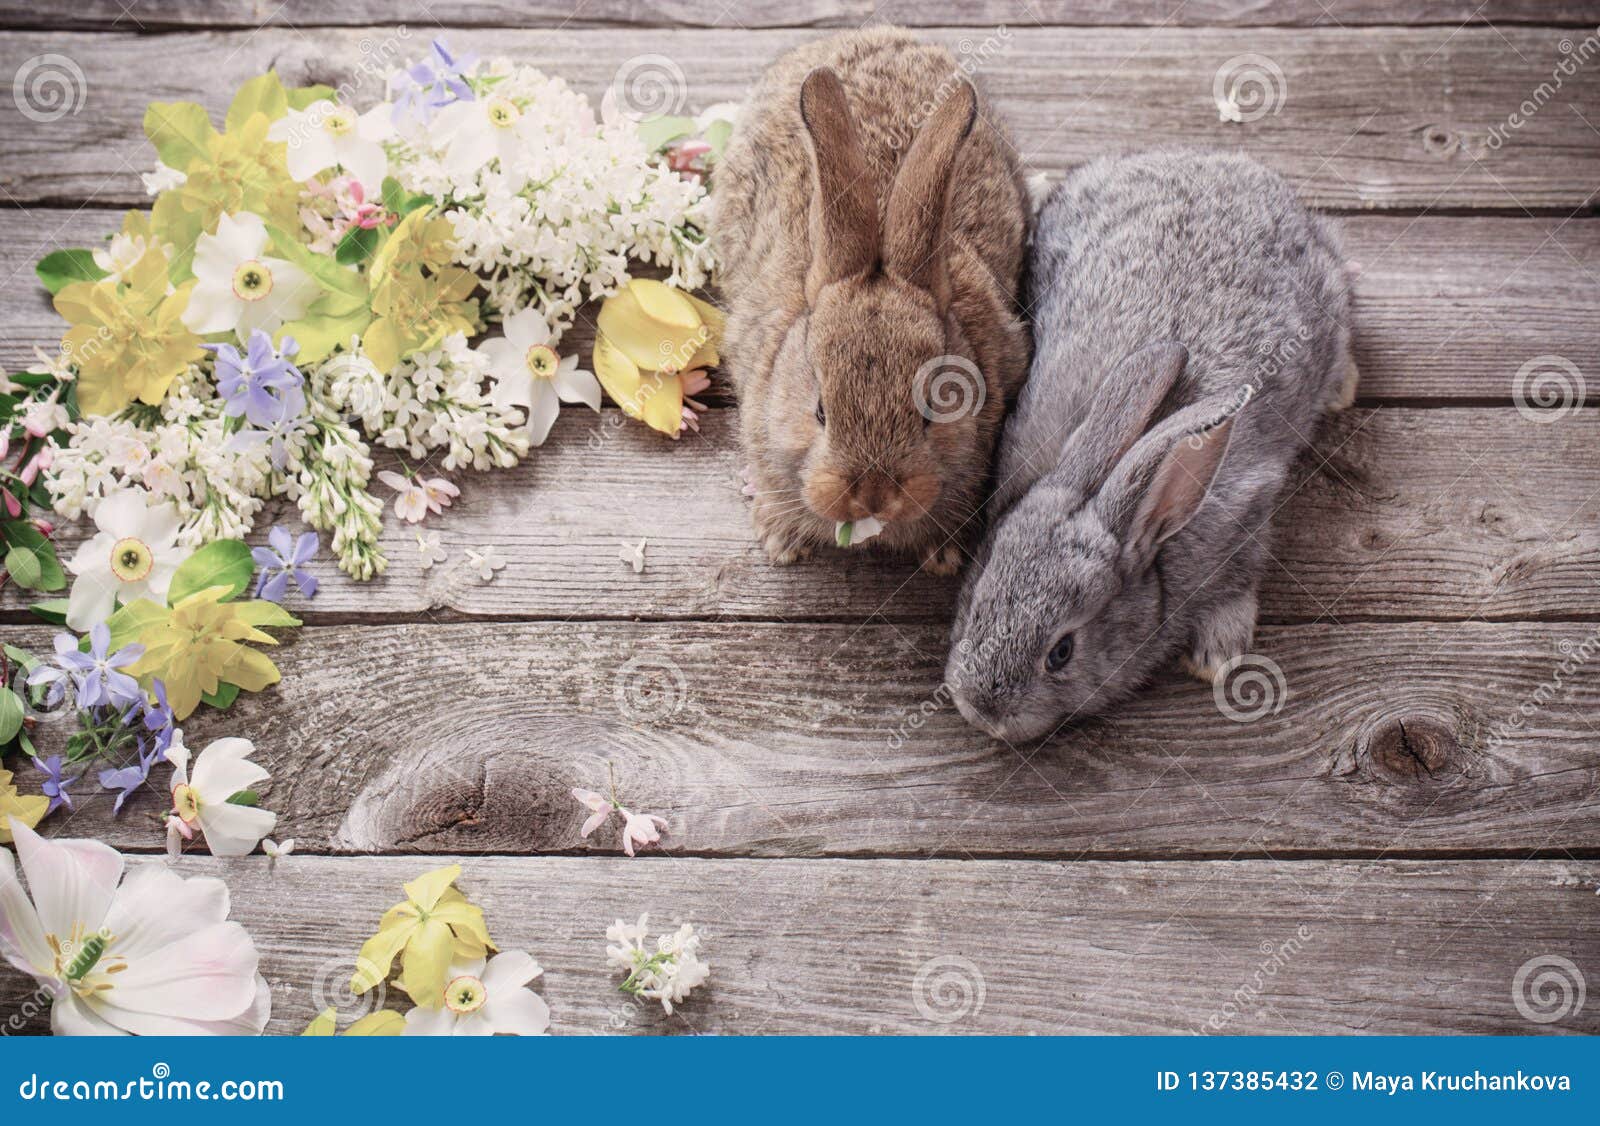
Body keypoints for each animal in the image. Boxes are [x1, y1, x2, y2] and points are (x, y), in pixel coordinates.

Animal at [712, 27, 1031, 575]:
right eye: (820, 412)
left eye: (931, 412)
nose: (874, 496)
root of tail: (874, 31)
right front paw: (780, 541)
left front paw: (943, 556)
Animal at [945, 149, 1358, 739]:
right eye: (978, 599)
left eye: (1061, 653)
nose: (981, 710)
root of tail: (1214, 158)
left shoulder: (1243, 515)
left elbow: (1240, 580)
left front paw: (1216, 657)